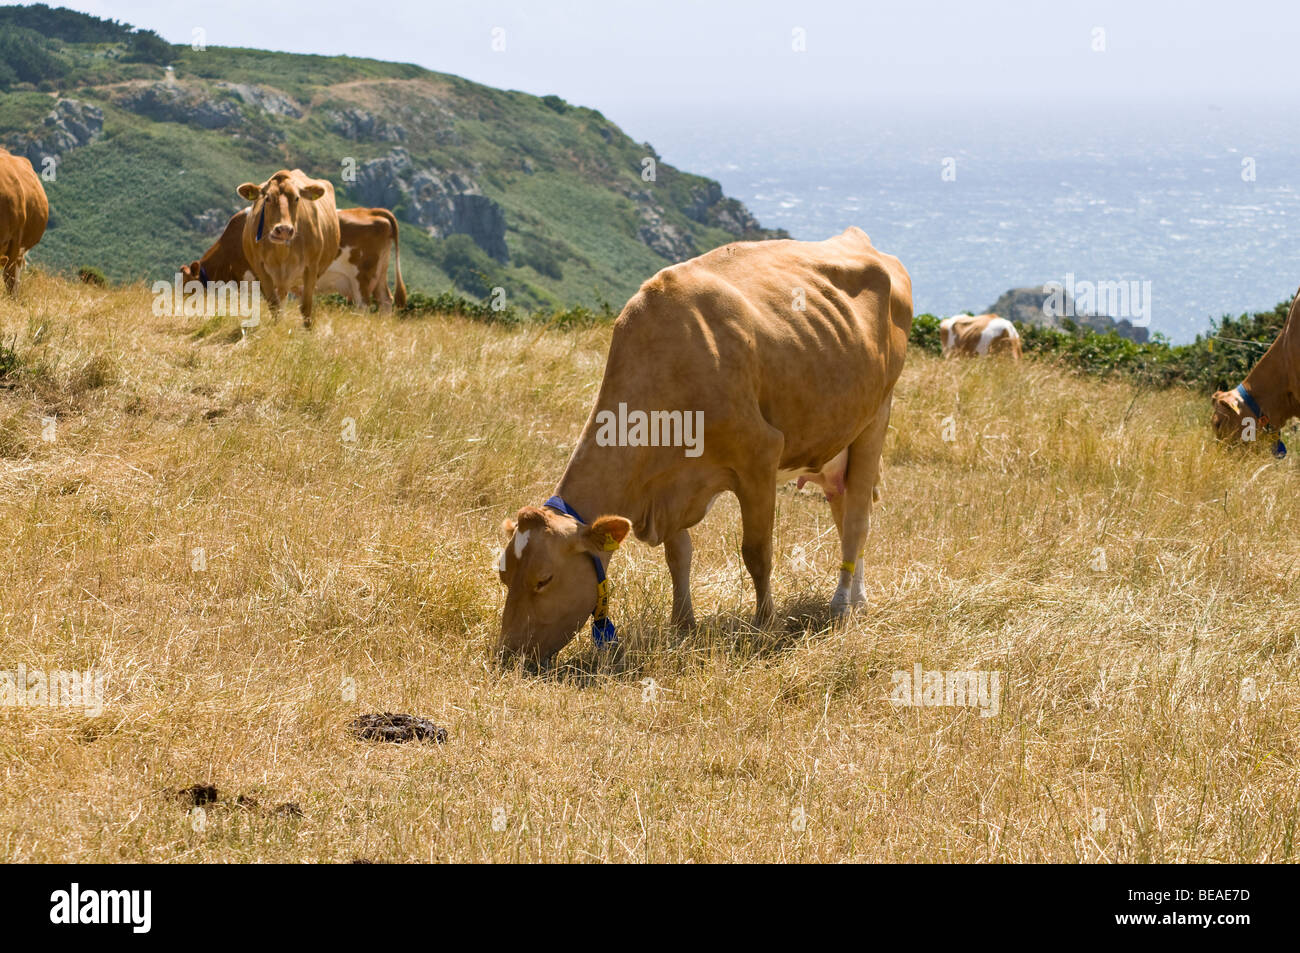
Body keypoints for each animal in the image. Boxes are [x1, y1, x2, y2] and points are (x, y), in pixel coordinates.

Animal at [181, 207, 406, 310]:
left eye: (188, 286)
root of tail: (371, 212)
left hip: (361, 277)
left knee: (364, 306)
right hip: (379, 274)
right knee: (386, 301)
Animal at [235, 170, 340, 326]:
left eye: (297, 198)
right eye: (267, 198)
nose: (284, 230)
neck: (282, 253)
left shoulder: (311, 268)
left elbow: (306, 307)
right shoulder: (261, 269)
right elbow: (274, 305)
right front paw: (277, 327)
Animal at [495, 226, 912, 665]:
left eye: (544, 579)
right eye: (504, 574)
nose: (507, 655)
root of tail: (859, 239)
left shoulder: (759, 456)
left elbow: (756, 552)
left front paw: (765, 625)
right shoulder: (668, 483)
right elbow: (678, 556)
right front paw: (682, 626)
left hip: (875, 419)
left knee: (856, 521)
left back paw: (842, 604)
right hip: (835, 446)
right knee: (847, 510)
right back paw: (858, 598)